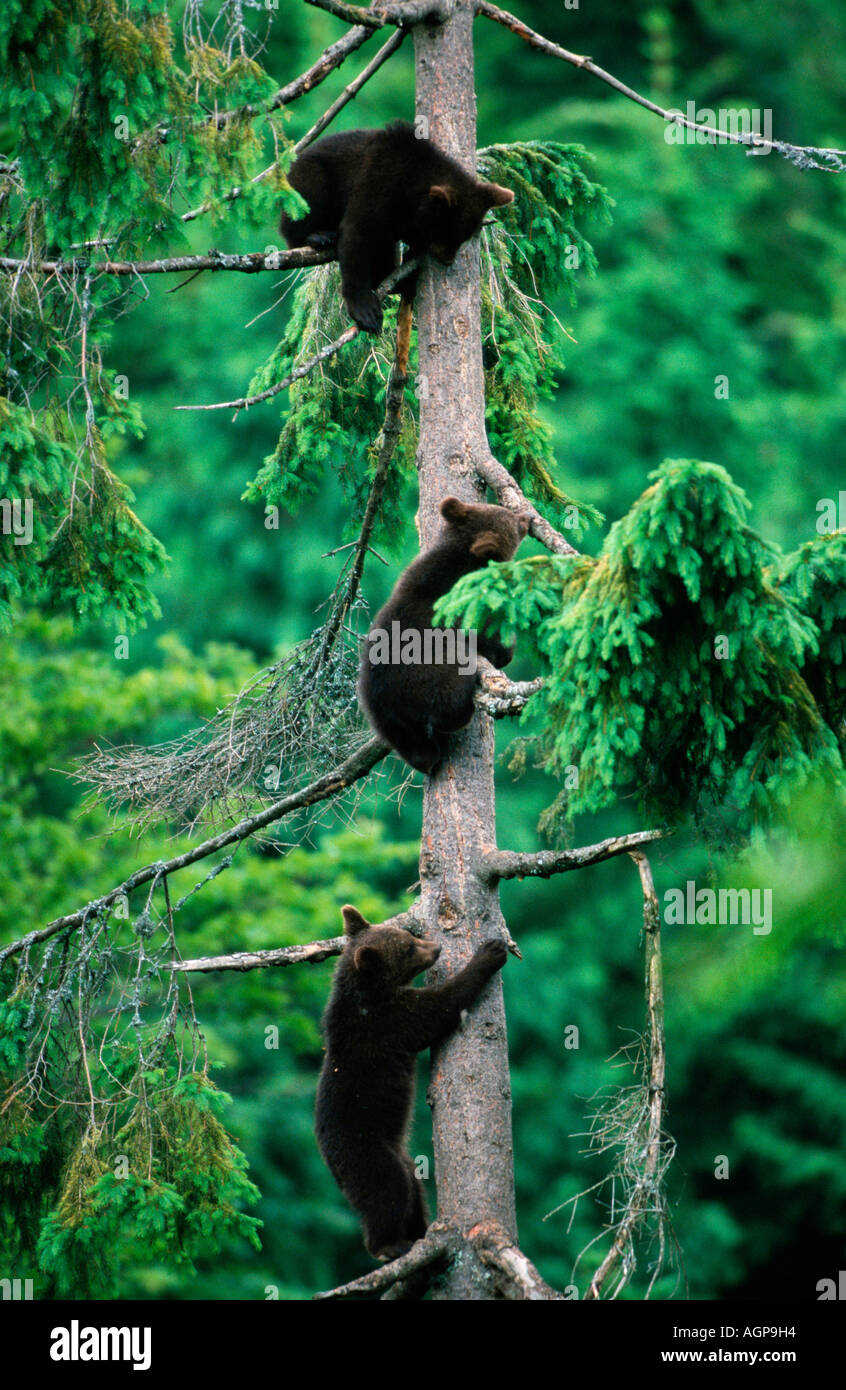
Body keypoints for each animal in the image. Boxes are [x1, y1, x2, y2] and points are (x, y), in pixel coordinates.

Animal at [280, 121, 514, 333]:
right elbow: (357, 238)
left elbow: (384, 246)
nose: (448, 260)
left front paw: (401, 270)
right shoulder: (376, 185)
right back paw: (318, 236)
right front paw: (366, 311)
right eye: (446, 233)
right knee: (305, 203)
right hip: (310, 179)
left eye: (463, 238)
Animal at [315, 904, 508, 1260]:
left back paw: (420, 1232)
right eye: (407, 948)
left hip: (400, 1158)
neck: (369, 993)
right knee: (388, 1192)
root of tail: (331, 1163)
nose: (437, 947)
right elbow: (439, 1007)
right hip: (367, 1153)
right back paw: (390, 1245)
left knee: (414, 1192)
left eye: (408, 935)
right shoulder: (390, 1021)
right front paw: (489, 953)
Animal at [357, 496, 531, 774]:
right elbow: (489, 634)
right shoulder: (466, 607)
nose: (528, 516)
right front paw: (504, 651)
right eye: (513, 522)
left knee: (413, 748)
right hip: (433, 674)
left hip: (383, 721)